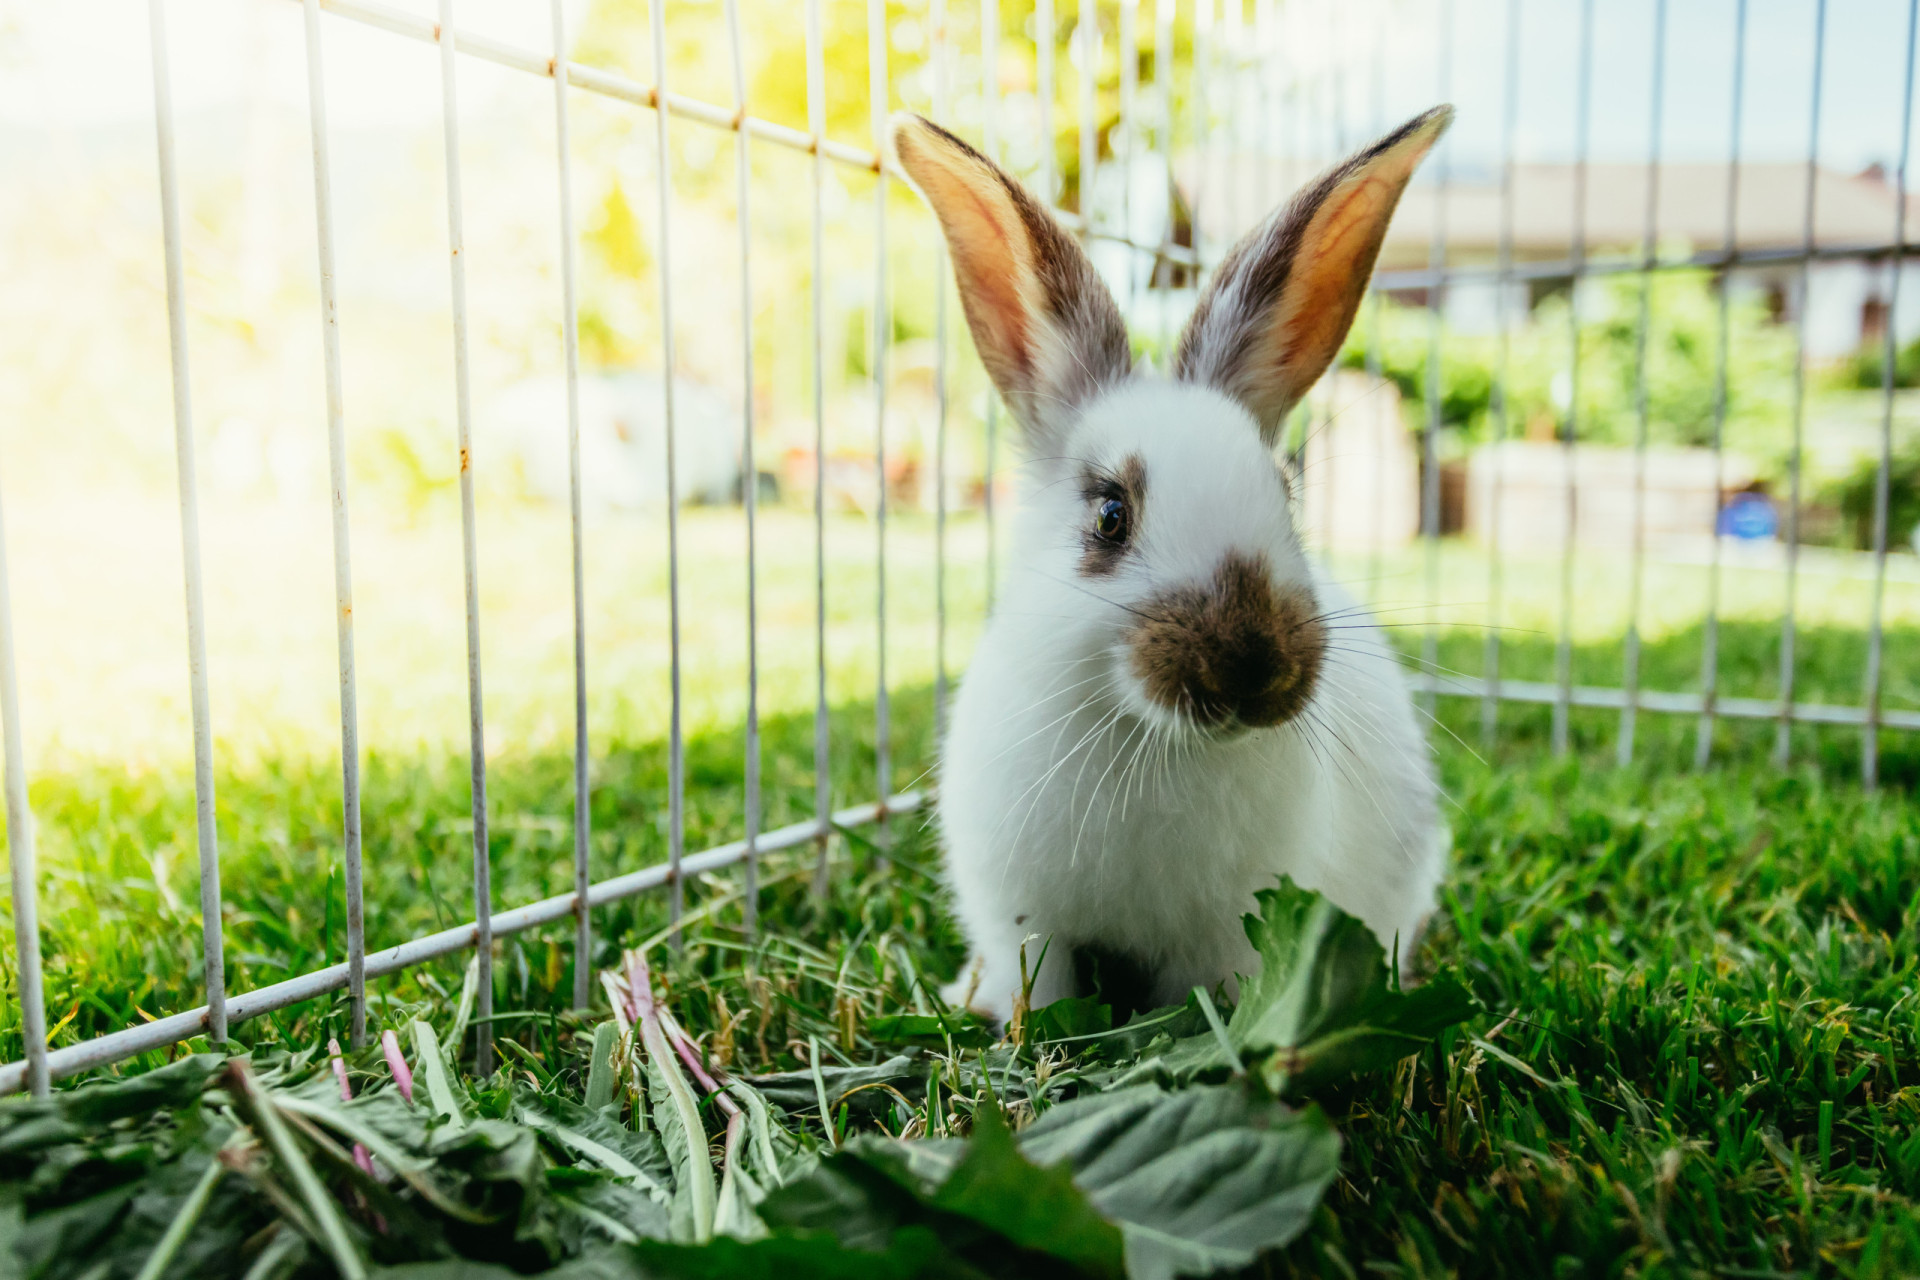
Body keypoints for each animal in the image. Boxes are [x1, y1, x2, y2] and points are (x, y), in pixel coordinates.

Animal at [889, 104, 1456, 1023]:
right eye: (1110, 516)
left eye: (1287, 495)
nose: (1253, 668)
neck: (1149, 740)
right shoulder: (1020, 916)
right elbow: (1037, 984)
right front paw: (1015, 1021)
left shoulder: (1228, 932)